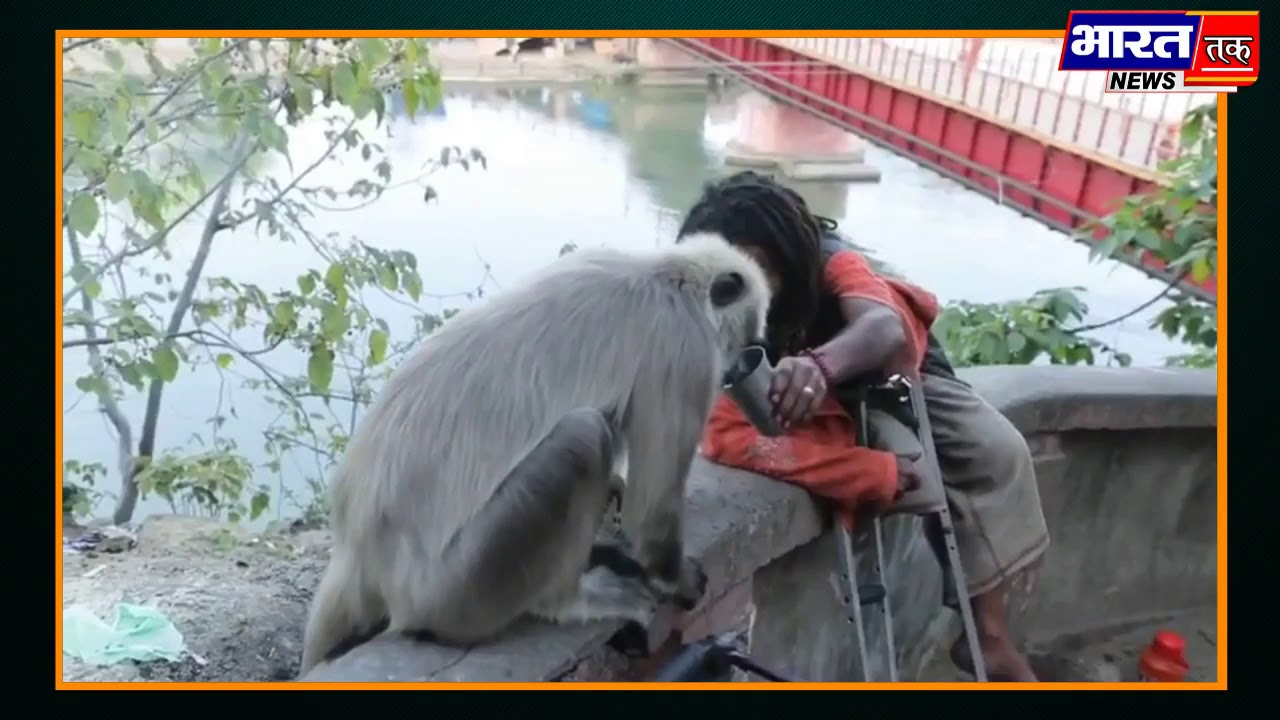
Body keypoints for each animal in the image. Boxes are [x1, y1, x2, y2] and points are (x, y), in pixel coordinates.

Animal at [296, 231, 772, 676]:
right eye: (743, 340)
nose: (739, 366)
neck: (667, 274)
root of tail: (359, 549)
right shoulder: (687, 347)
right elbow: (653, 515)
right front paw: (679, 578)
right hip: (456, 591)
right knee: (584, 435)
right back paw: (567, 601)